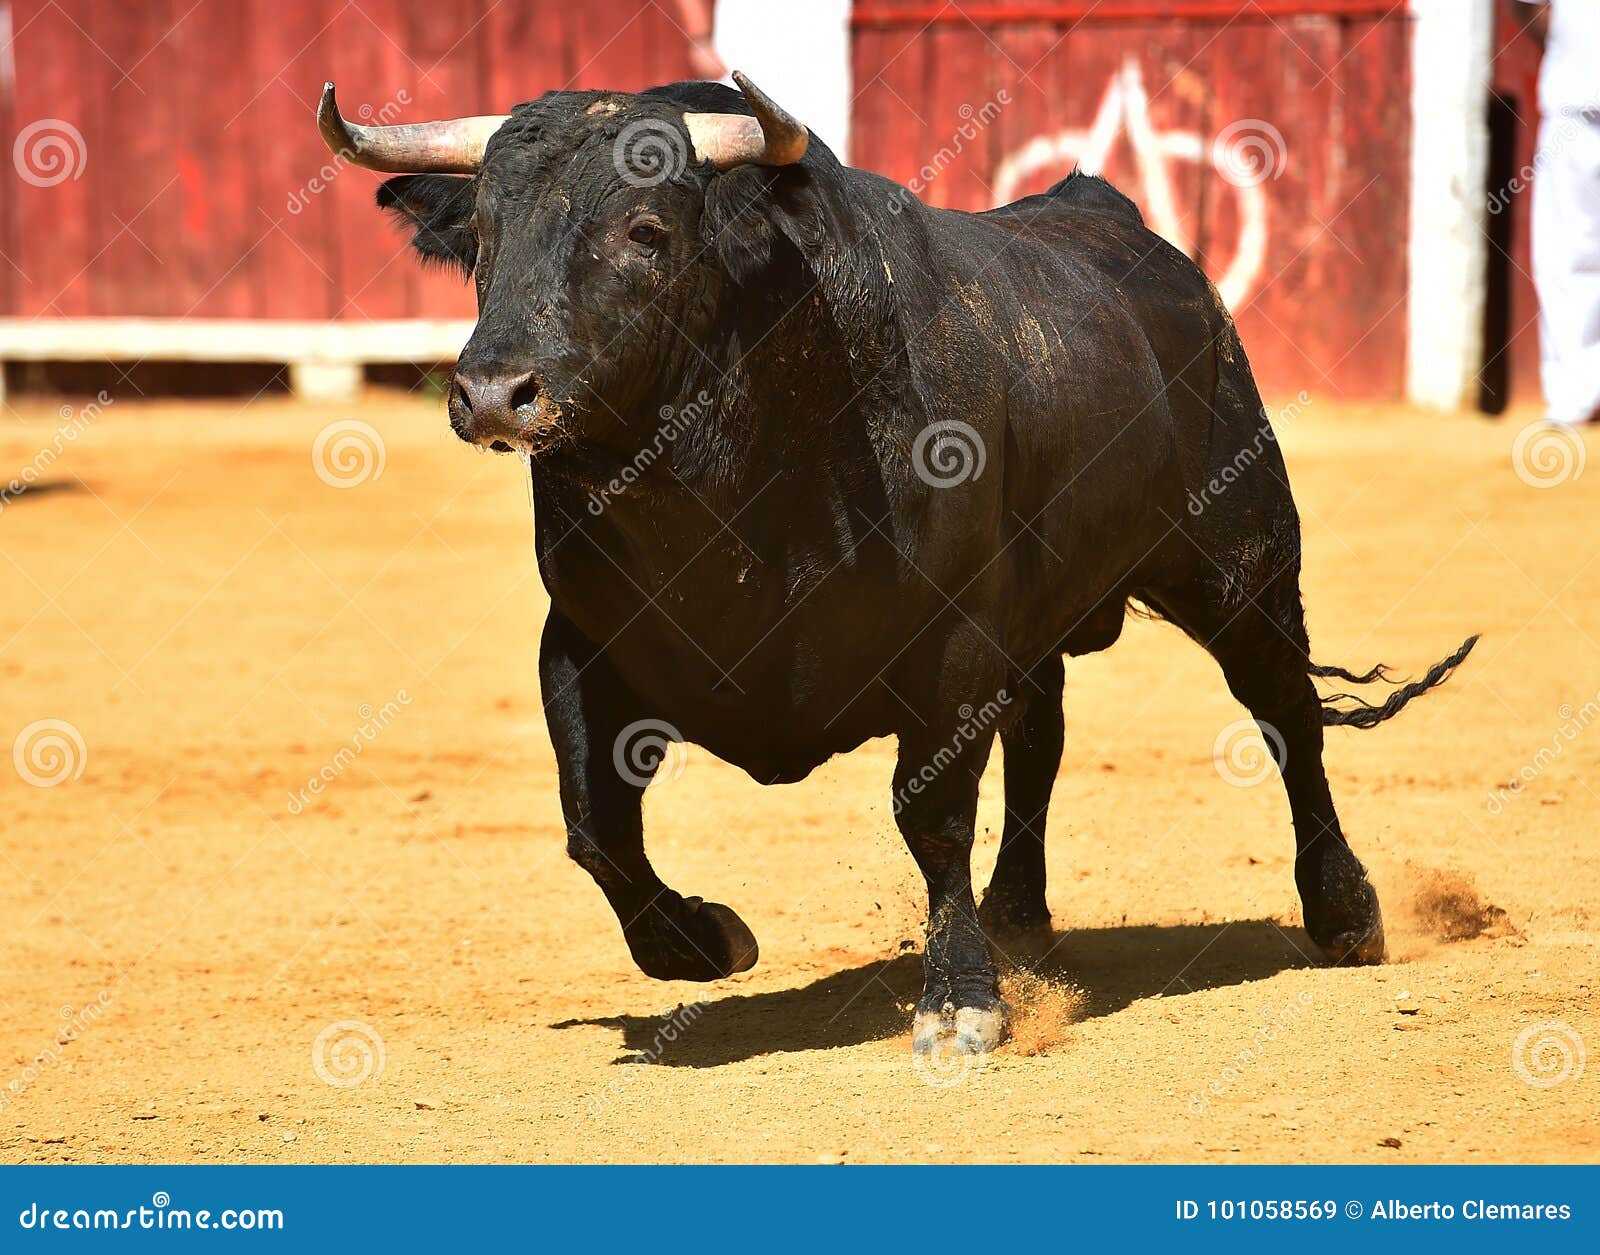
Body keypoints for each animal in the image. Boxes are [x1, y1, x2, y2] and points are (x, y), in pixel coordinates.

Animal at [317, 74, 1476, 1058]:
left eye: (645, 231)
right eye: (485, 236)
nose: (493, 392)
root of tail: (1121, 226)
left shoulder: (950, 638)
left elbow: (931, 812)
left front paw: (959, 1002)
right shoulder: (582, 639)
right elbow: (593, 823)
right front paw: (702, 940)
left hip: (1241, 557)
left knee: (1283, 710)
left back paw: (1343, 911)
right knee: (1044, 735)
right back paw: (1021, 918)